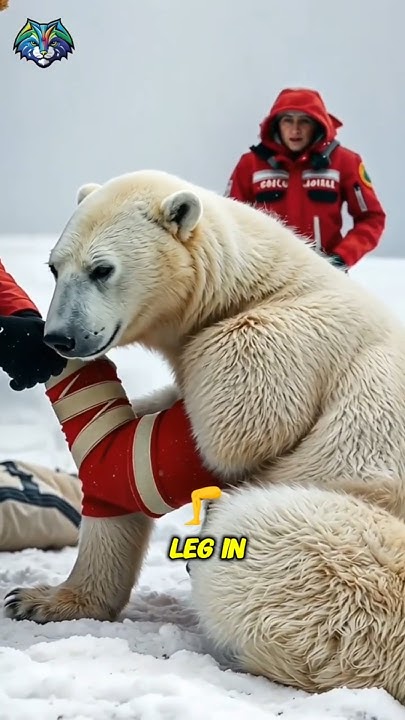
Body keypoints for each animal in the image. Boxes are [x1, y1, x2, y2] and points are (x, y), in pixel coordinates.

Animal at [4, 169, 405, 703]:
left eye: (102, 269)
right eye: (53, 267)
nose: (59, 338)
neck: (253, 288)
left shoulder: (267, 346)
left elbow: (230, 431)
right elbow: (127, 457)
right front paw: (40, 599)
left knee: (263, 531)